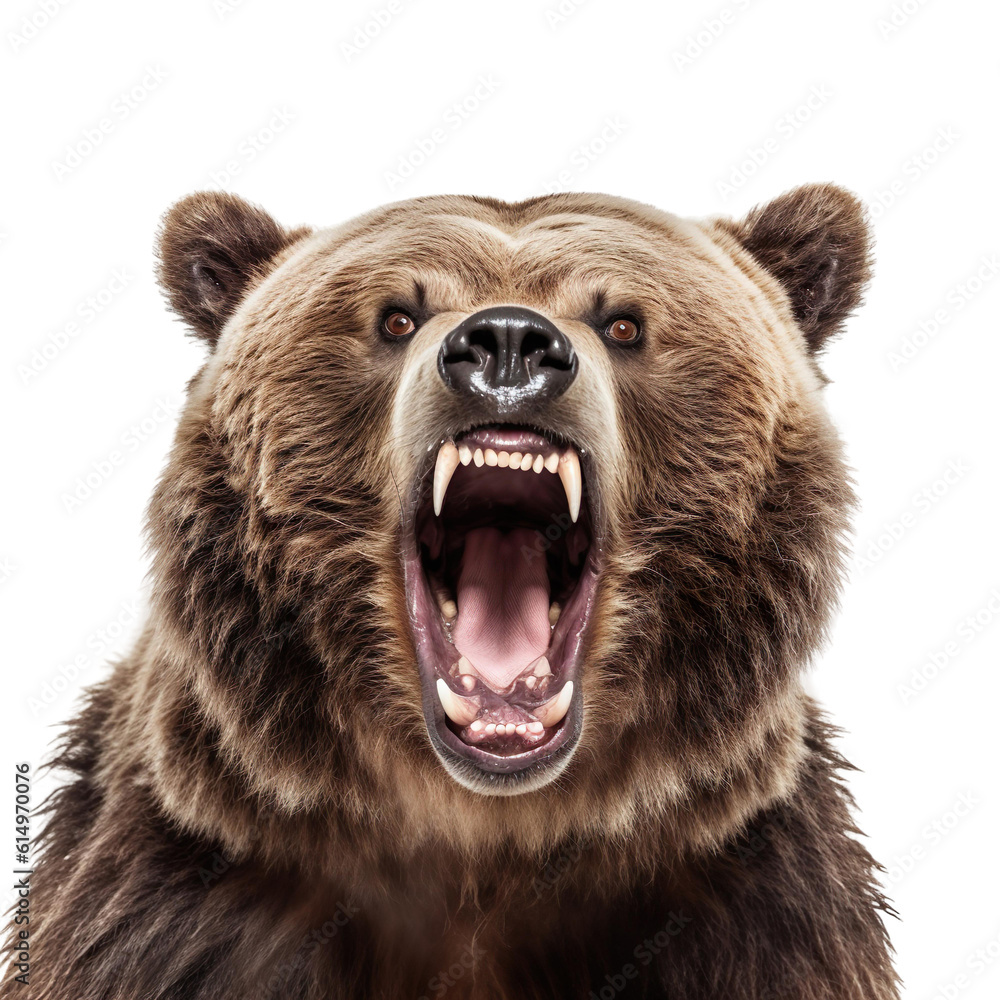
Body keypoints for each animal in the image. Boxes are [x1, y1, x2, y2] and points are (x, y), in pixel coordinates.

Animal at [3, 185, 898, 999]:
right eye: (397, 317)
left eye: (624, 323)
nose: (508, 340)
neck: (482, 834)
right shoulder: (178, 904)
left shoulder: (752, 914)